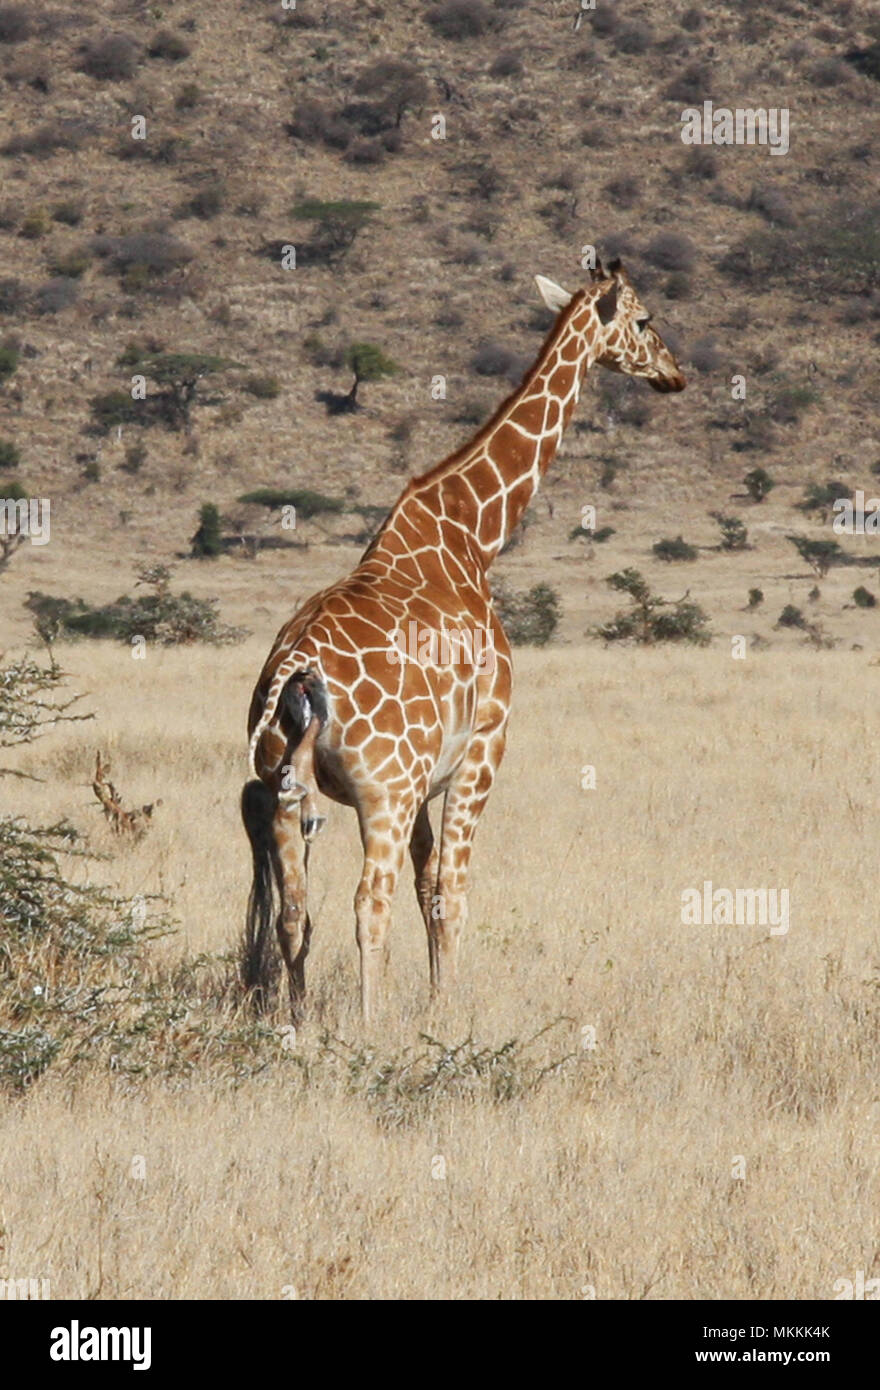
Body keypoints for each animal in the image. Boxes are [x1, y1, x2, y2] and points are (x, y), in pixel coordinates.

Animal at [241, 258, 686, 1023]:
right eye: (645, 319)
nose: (675, 374)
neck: (474, 535)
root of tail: (295, 669)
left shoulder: (428, 778)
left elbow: (428, 891)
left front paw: (436, 999)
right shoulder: (481, 751)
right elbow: (451, 893)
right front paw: (445, 1014)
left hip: (283, 791)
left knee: (295, 913)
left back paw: (296, 1026)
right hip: (381, 793)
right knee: (368, 903)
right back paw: (369, 1028)